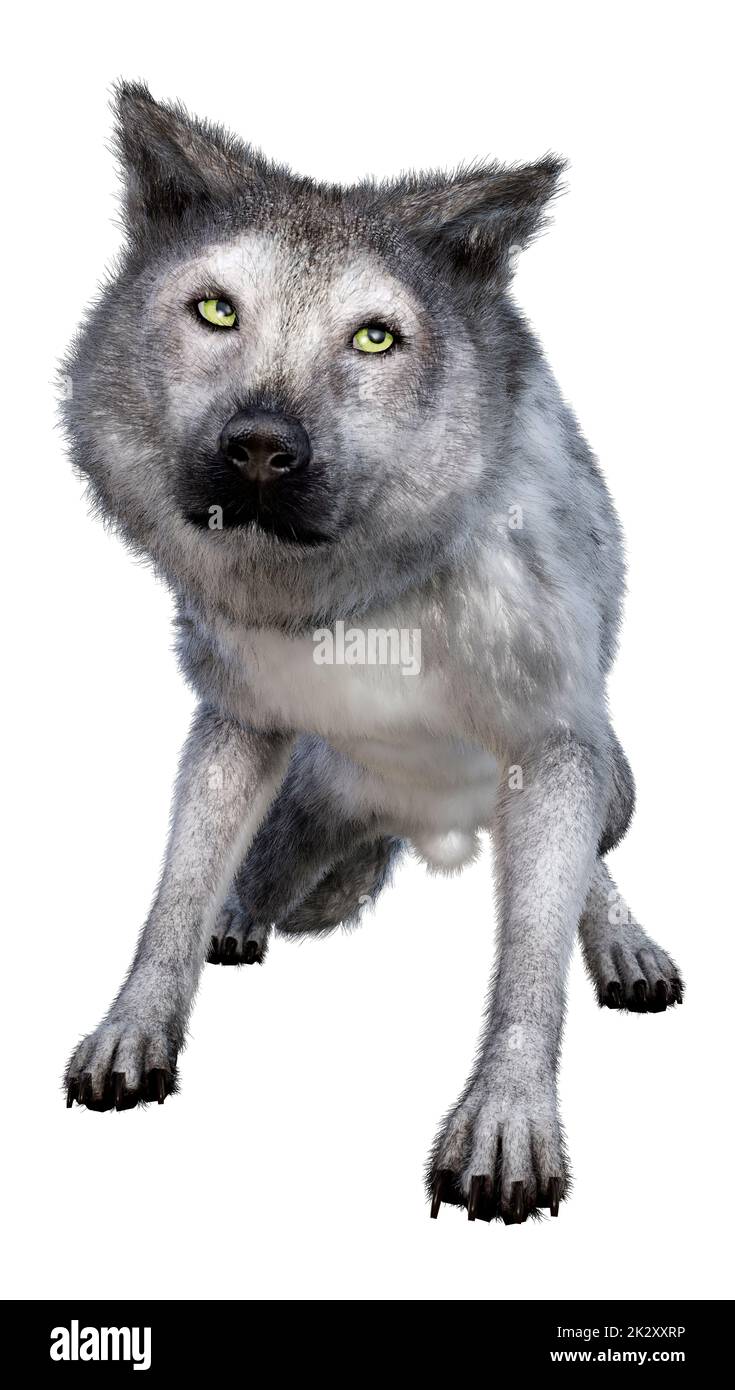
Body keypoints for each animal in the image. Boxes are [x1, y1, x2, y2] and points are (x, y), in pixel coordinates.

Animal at [62, 83, 682, 1223]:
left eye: (376, 337)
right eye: (217, 311)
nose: (261, 449)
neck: (356, 603)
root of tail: (418, 830)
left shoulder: (555, 745)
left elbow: (531, 964)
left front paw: (505, 1126)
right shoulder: (237, 723)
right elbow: (174, 893)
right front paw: (134, 1029)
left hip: (610, 777)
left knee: (589, 872)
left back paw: (626, 947)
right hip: (311, 804)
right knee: (256, 873)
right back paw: (244, 914)